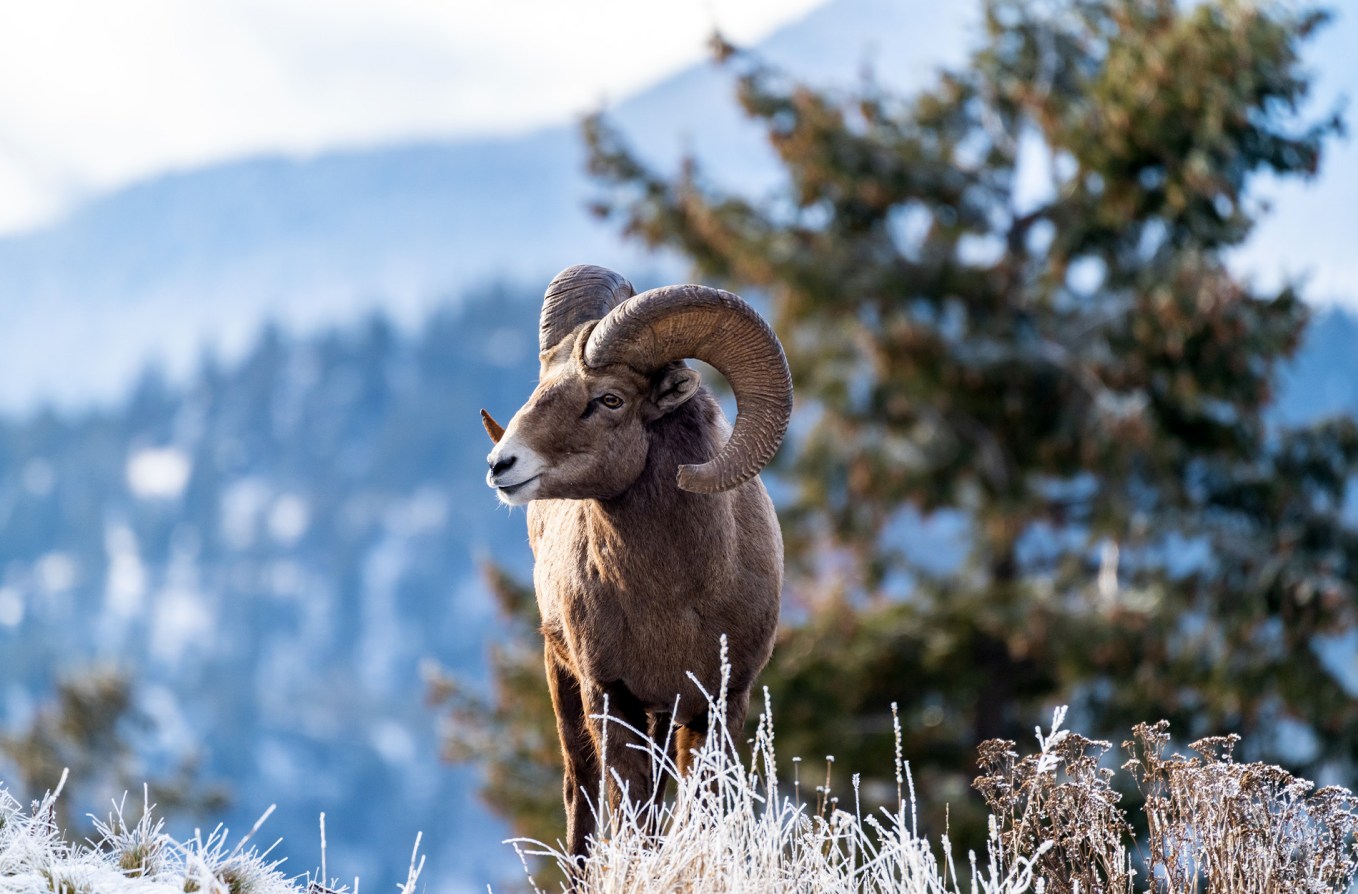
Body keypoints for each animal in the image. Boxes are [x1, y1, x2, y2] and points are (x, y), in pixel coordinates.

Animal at [480, 264, 792, 861]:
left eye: (610, 399)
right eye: (543, 384)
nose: (501, 465)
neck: (673, 598)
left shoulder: (719, 704)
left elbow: (697, 813)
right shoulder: (610, 696)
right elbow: (631, 815)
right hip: (565, 684)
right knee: (580, 792)